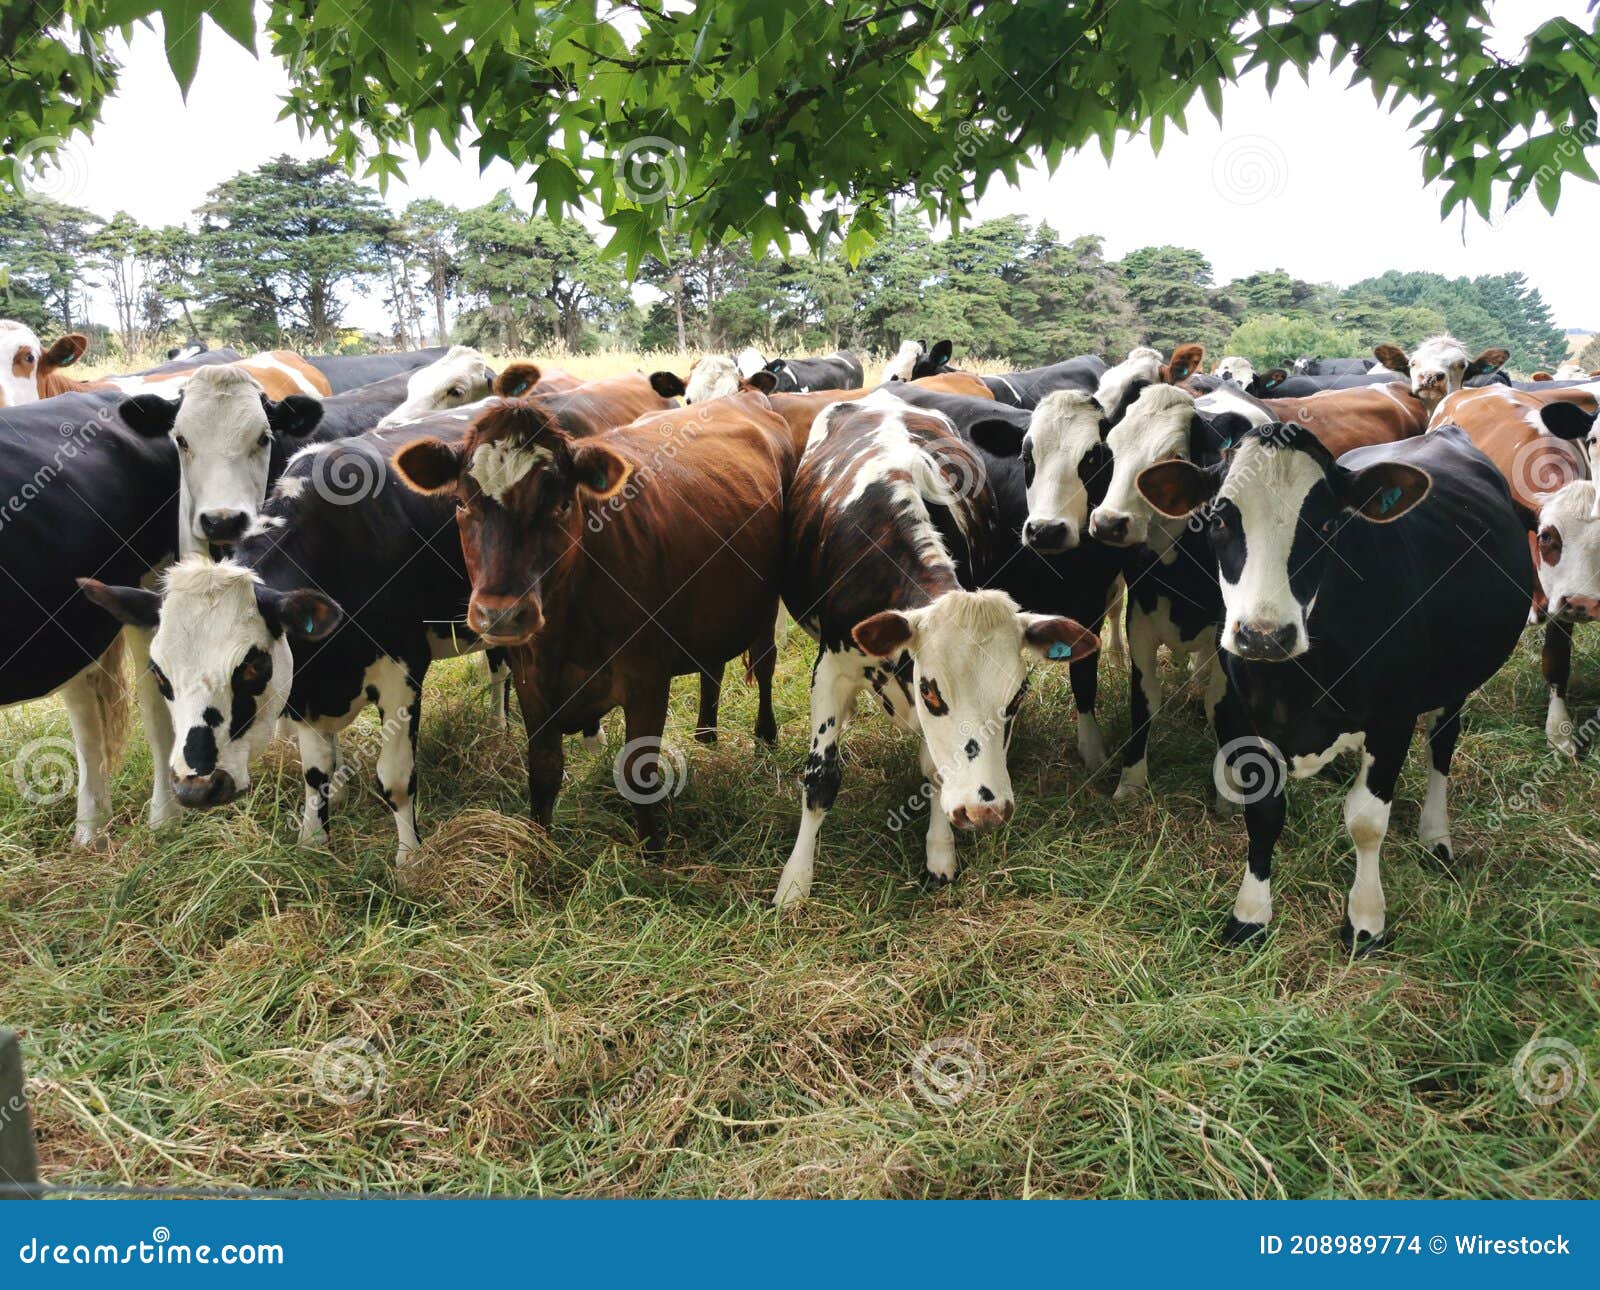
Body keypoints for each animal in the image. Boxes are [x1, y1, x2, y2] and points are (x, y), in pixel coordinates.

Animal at [389, 389, 795, 854]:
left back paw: (765, 738)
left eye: (563, 504)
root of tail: (746, 395)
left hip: (766, 603)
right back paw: (706, 736)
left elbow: (639, 773)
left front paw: (652, 853)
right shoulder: (531, 684)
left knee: (765, 663)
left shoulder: (647, 681)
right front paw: (541, 848)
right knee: (713, 665)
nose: (501, 613)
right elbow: (543, 773)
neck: (567, 627)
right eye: (460, 503)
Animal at [770, 387, 1097, 905]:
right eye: (931, 693)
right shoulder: (831, 667)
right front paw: (795, 881)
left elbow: (938, 771)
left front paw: (940, 850)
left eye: (1015, 700)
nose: (984, 811)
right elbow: (821, 779)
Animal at [1135, 423, 1531, 951]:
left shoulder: (1393, 720)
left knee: (1442, 746)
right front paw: (1251, 915)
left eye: (1327, 528)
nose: (1263, 635)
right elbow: (1263, 814)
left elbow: (1366, 821)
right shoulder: (1244, 714)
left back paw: (1436, 836)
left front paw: (1365, 919)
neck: (1293, 682)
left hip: (1455, 682)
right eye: (1219, 521)